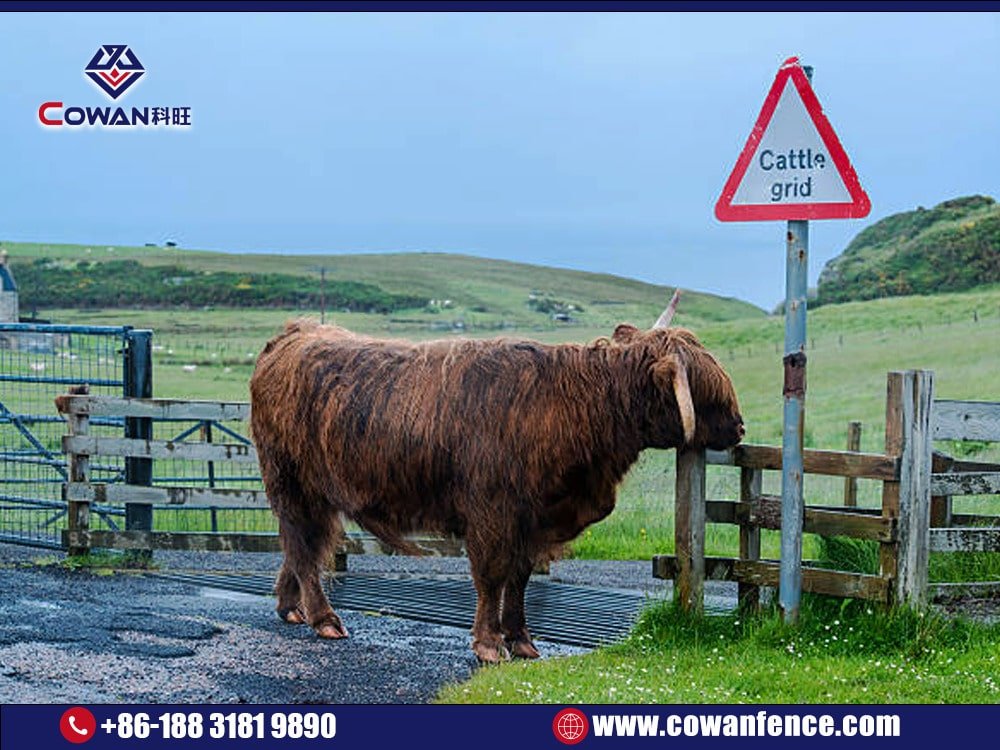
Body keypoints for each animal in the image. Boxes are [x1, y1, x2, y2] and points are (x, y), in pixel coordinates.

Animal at [249, 295, 744, 663]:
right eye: (707, 389)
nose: (740, 428)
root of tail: (295, 332)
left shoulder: (535, 520)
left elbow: (519, 577)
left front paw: (521, 640)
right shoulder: (493, 512)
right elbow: (491, 576)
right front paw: (489, 644)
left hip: (314, 492)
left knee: (304, 545)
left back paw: (290, 607)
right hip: (292, 484)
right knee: (304, 547)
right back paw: (323, 618)